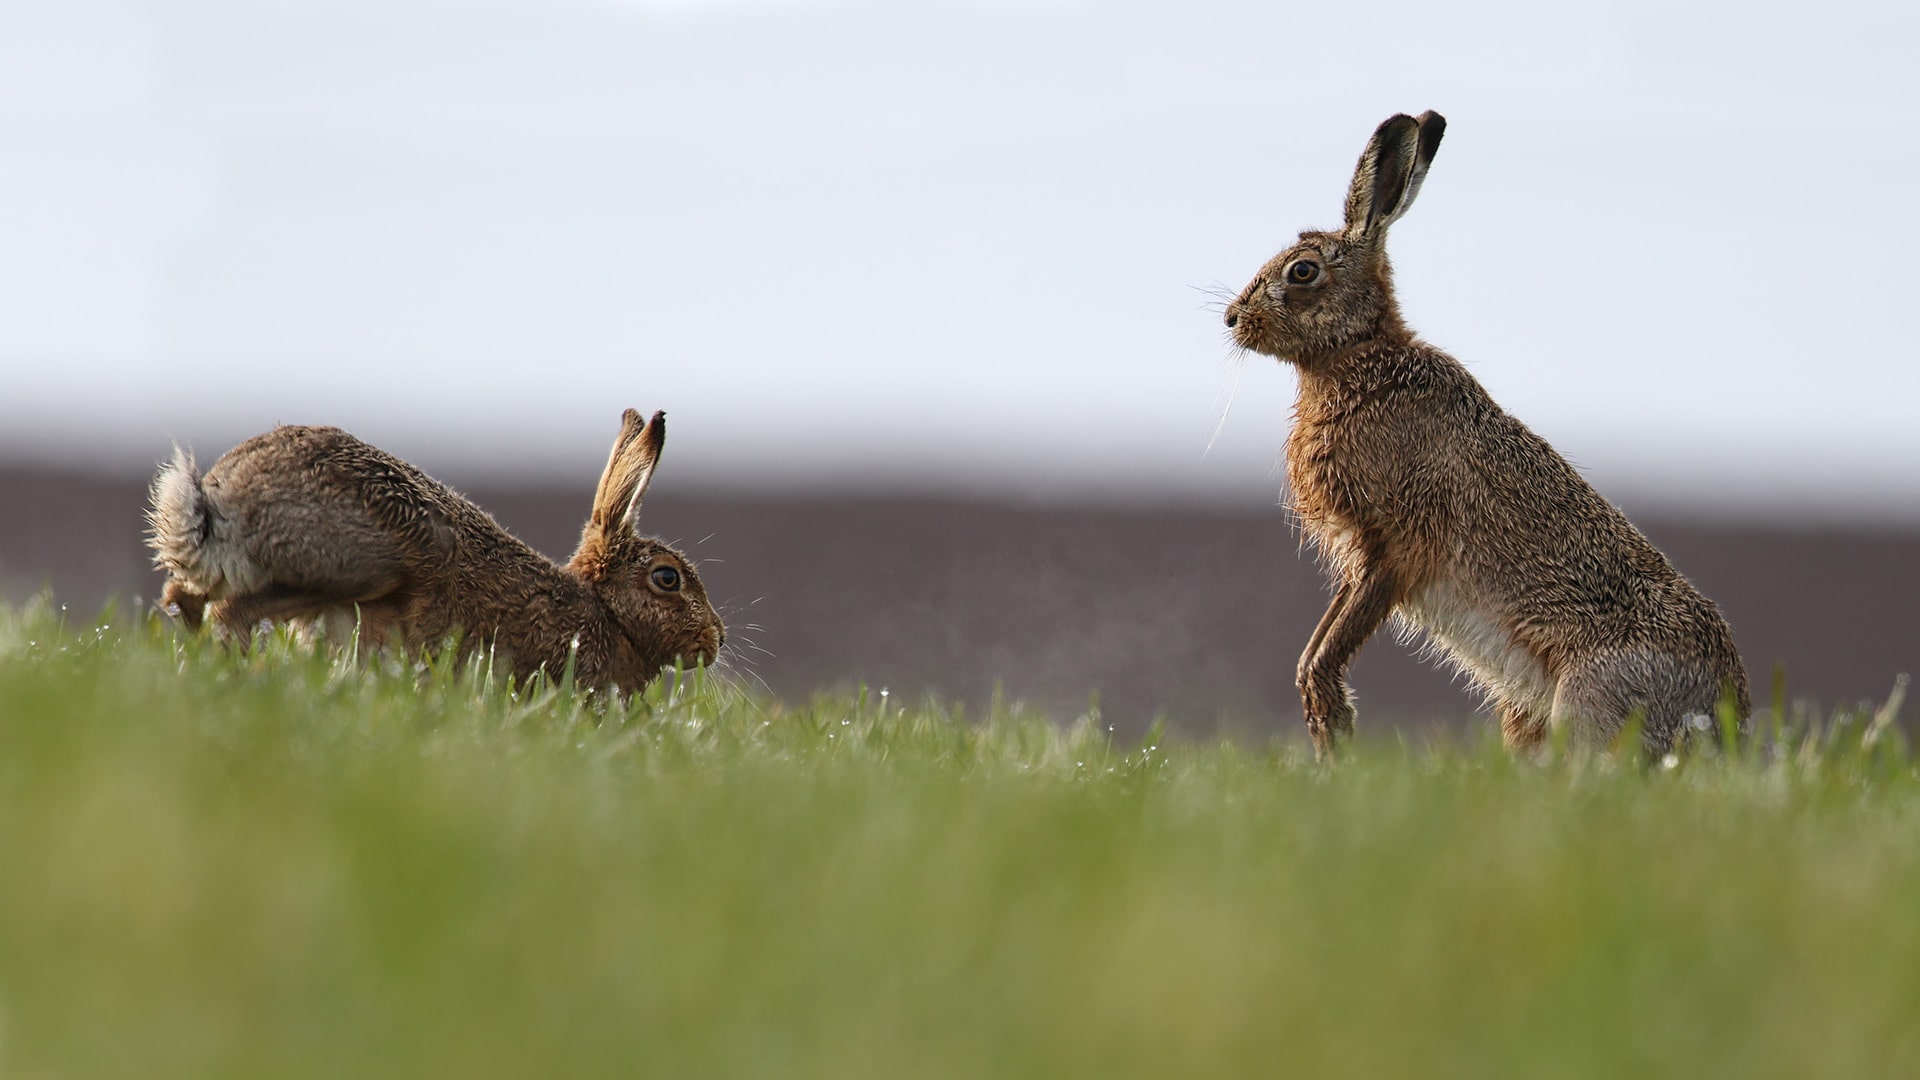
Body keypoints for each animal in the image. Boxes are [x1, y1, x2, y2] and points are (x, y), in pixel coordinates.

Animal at [146, 408, 724, 693]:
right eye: (667, 578)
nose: (715, 640)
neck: (609, 615)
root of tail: (221, 500)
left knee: (186, 595)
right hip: (363, 569)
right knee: (232, 612)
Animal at [1223, 110, 1748, 757]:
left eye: (1303, 270)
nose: (1233, 319)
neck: (1359, 357)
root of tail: (1727, 720)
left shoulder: (1394, 543)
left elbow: (1339, 637)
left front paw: (1331, 719)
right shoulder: (1360, 555)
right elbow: (1323, 632)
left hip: (1591, 696)